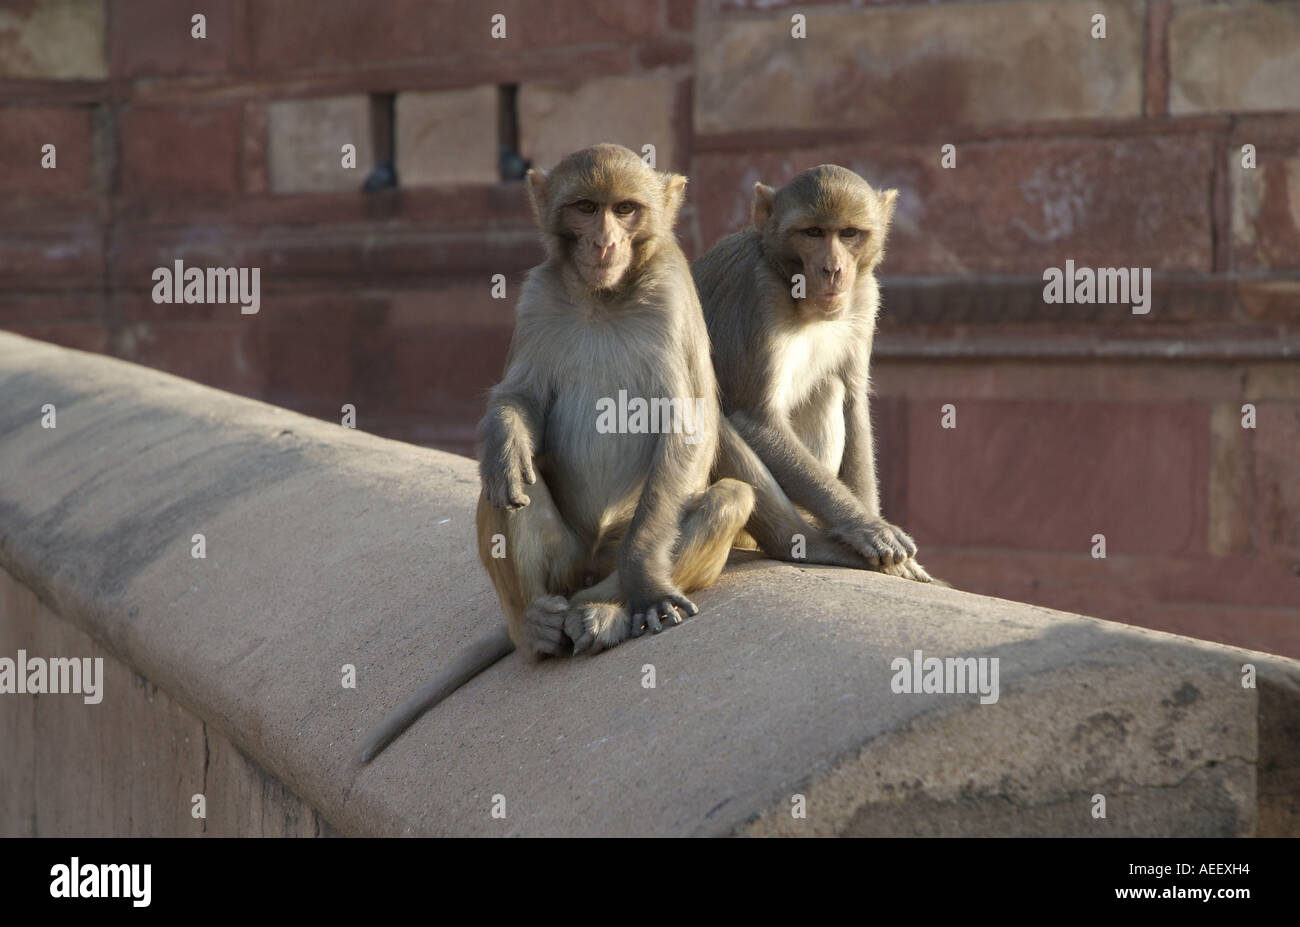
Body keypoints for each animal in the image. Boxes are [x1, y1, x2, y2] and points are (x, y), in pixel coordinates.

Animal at [360, 145, 753, 763]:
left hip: (610, 557)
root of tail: (586, 572)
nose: (605, 244)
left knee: (728, 497)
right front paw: (509, 438)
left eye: (626, 209)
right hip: (563, 563)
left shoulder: (671, 290)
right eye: (586, 208)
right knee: (502, 488)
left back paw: (607, 612)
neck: (604, 299)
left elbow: (687, 427)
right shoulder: (536, 296)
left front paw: (645, 583)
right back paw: (533, 629)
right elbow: (518, 399)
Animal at [691, 164, 936, 585]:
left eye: (849, 233)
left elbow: (854, 403)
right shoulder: (755, 293)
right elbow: (756, 421)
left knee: (829, 389)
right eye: (813, 233)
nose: (833, 269)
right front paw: (865, 526)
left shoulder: (865, 296)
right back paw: (800, 542)